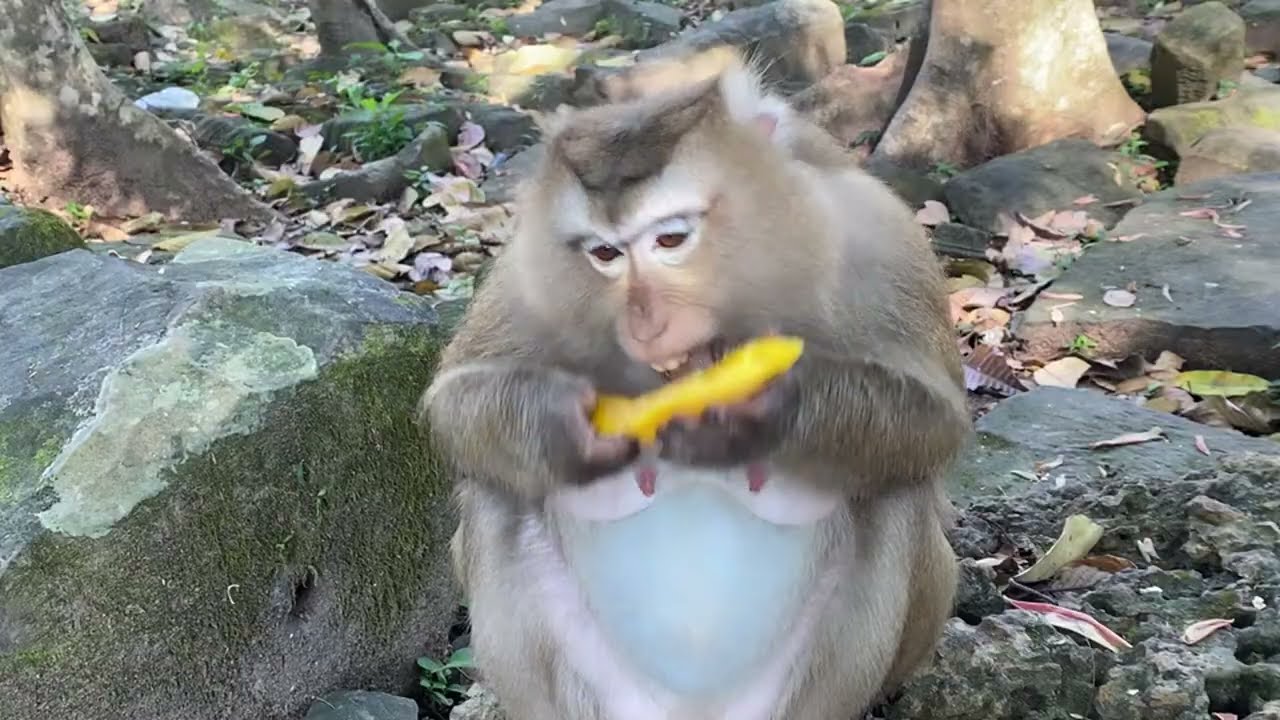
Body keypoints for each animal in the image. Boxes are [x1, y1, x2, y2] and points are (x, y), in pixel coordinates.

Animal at [419, 47, 970, 720]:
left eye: (671, 239)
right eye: (605, 254)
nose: (645, 322)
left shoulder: (875, 234)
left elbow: (936, 422)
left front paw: (759, 418)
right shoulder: (530, 267)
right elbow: (455, 402)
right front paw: (562, 427)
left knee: (896, 492)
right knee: (496, 492)